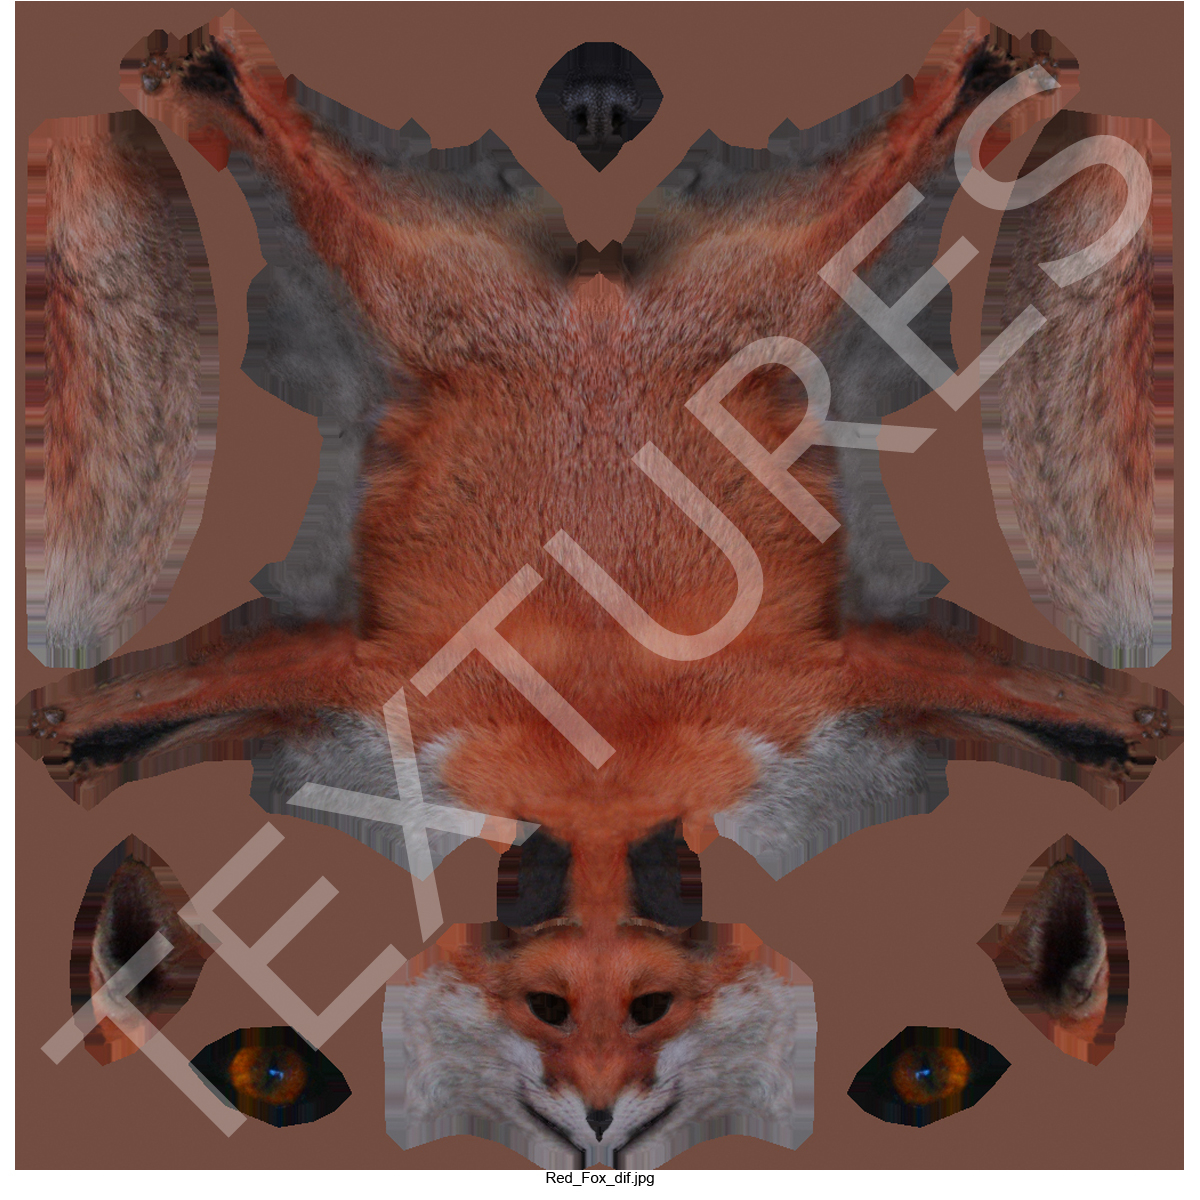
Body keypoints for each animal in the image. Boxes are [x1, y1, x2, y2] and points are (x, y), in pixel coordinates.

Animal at [21, 13, 1179, 1168]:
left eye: (650, 1009)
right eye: (548, 1010)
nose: (598, 1121)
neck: (600, 748)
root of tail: (597, 297)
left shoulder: (813, 695)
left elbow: (1022, 702)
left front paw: (1123, 730)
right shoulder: (381, 688)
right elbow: (171, 702)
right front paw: (75, 730)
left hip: (769, 292)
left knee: (892, 169)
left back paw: (984, 75)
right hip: (429, 296)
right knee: (316, 183)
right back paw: (215, 78)